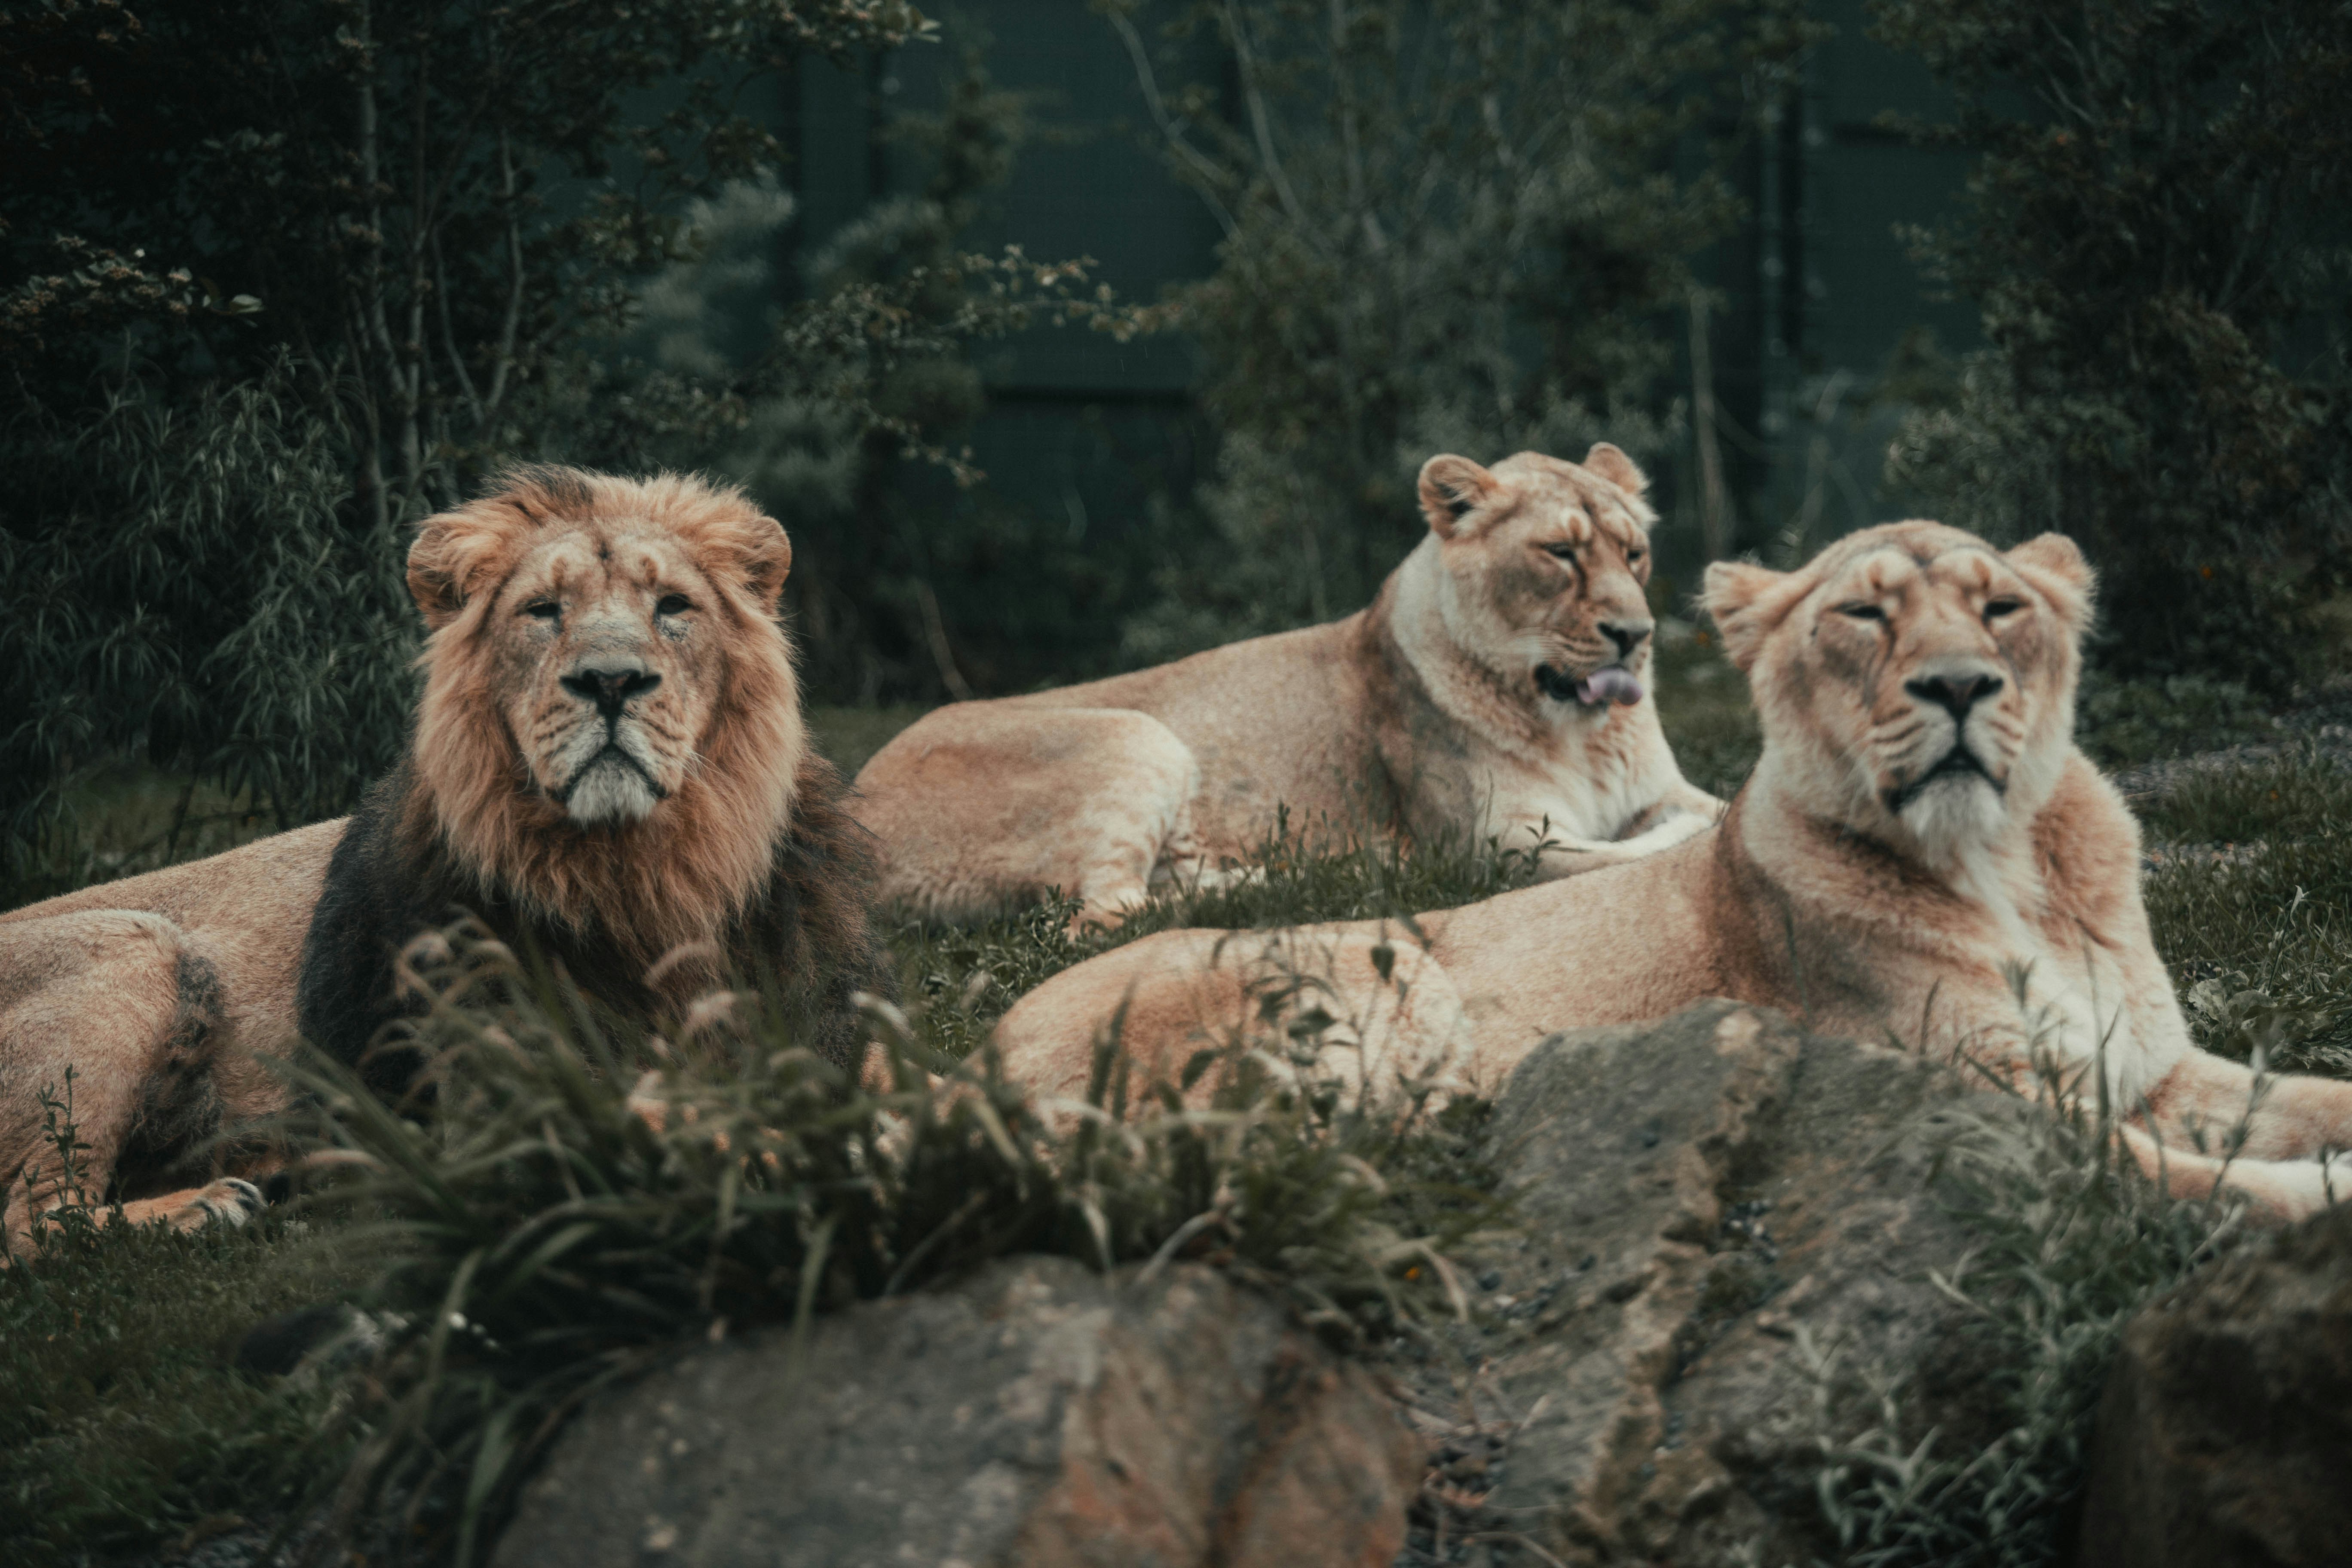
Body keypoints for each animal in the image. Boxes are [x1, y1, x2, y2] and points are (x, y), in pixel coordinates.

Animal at [0, 466, 889, 1252]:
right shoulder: (506, 1094)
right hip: (138, 946)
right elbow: (692, 1114)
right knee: (34, 1225)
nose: (611, 681)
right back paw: (212, 1204)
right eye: (541, 611)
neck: (646, 879)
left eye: (674, 606)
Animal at [854, 445, 1723, 928]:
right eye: (1559, 554)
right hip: (1136, 734)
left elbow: (1718, 804)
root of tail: (850, 806)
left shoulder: (1657, 786)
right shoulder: (1493, 848)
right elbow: (1629, 855)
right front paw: (1688, 839)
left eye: (1634, 552)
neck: (1583, 731)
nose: (1636, 635)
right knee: (1102, 914)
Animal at [995, 520, 2352, 1220]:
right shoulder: (1996, 1105)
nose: (1960, 684)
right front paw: (2319, 1195)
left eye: (2001, 608)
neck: (2007, 864)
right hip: (1386, 976)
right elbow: (2209, 1182)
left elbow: (2309, 1097)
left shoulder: (2158, 1066)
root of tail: (986, 1049)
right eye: (1861, 615)